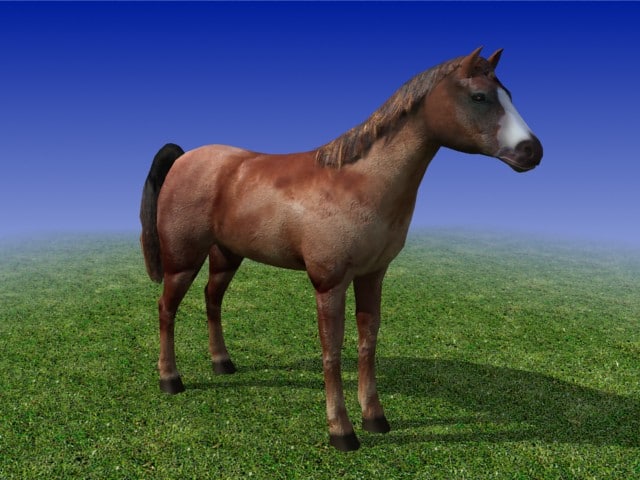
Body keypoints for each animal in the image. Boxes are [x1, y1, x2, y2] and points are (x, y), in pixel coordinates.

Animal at [140, 47, 542, 451]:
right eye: (479, 97)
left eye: (508, 94)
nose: (532, 151)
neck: (359, 183)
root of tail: (185, 157)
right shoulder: (329, 283)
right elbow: (332, 352)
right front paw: (341, 432)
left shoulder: (372, 276)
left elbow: (367, 344)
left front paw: (375, 419)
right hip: (183, 260)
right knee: (166, 309)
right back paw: (170, 380)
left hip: (226, 255)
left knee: (212, 299)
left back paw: (222, 364)